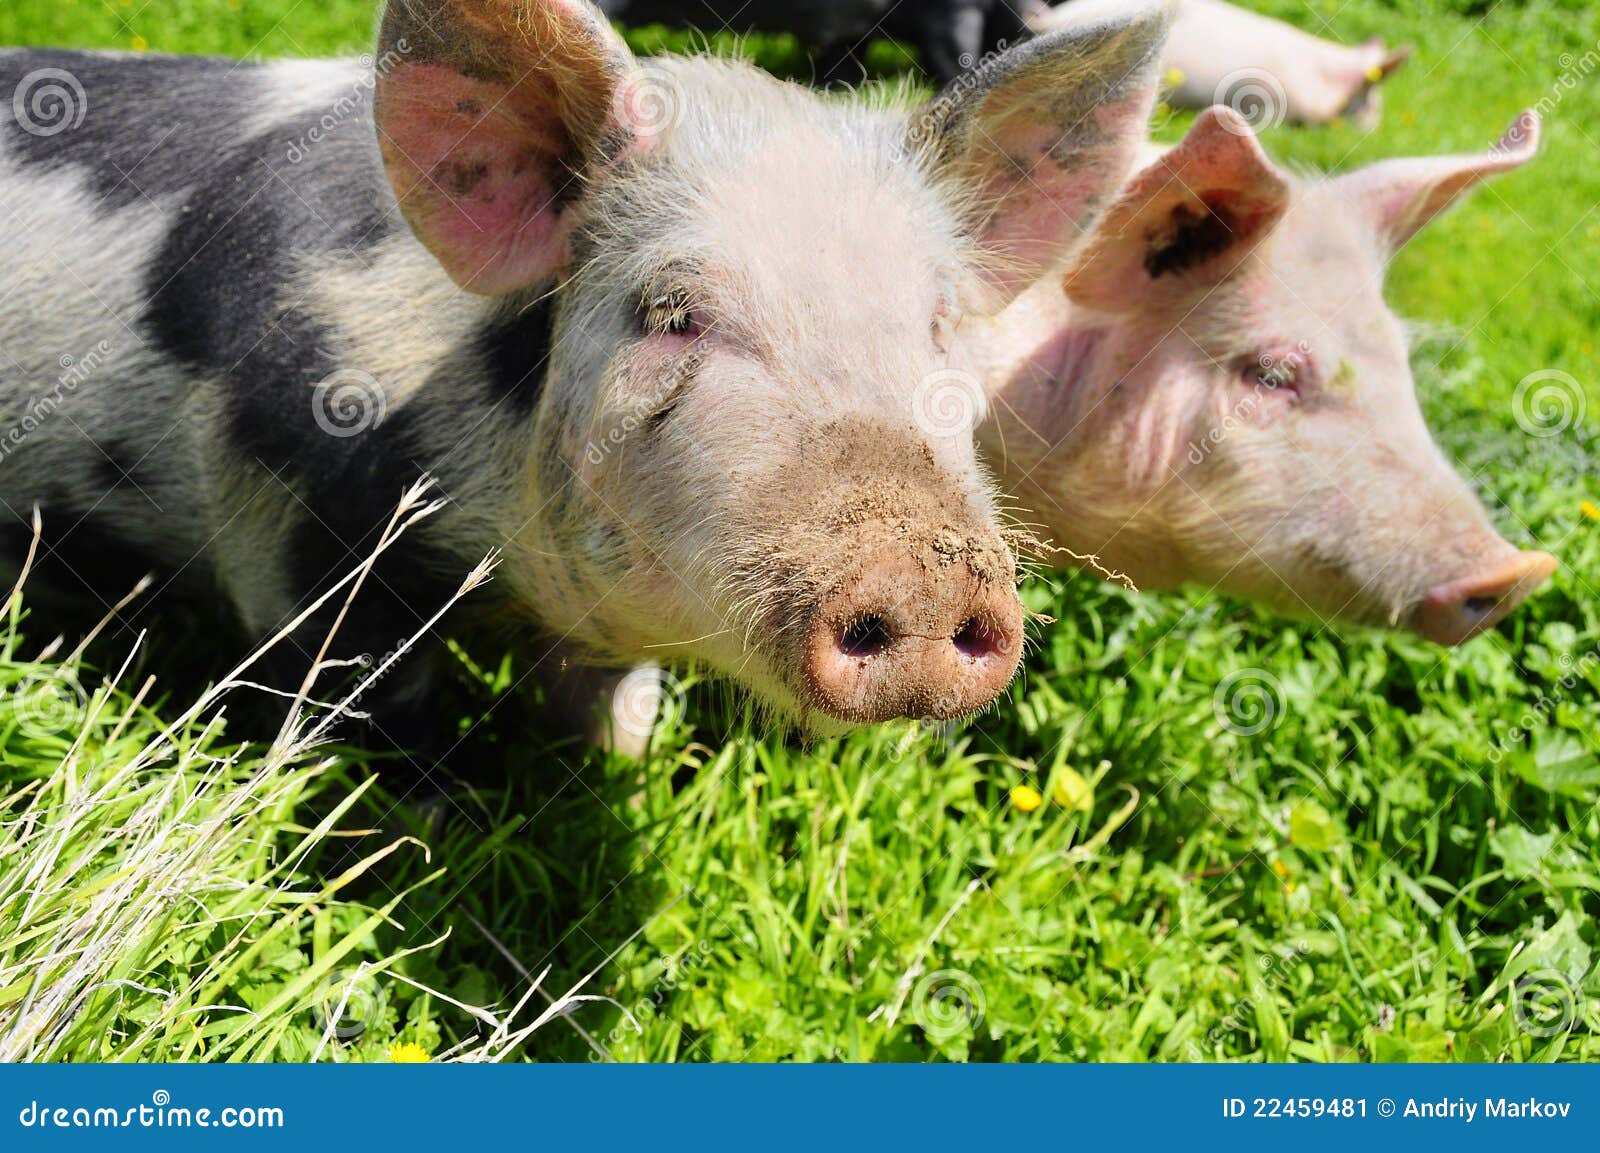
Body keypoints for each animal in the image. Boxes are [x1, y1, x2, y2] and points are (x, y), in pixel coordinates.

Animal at [0, 0, 1174, 745]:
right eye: (672, 314)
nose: (923, 575)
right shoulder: (286, 498)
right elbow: (367, 702)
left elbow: (607, 700)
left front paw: (626, 748)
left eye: (936, 321)